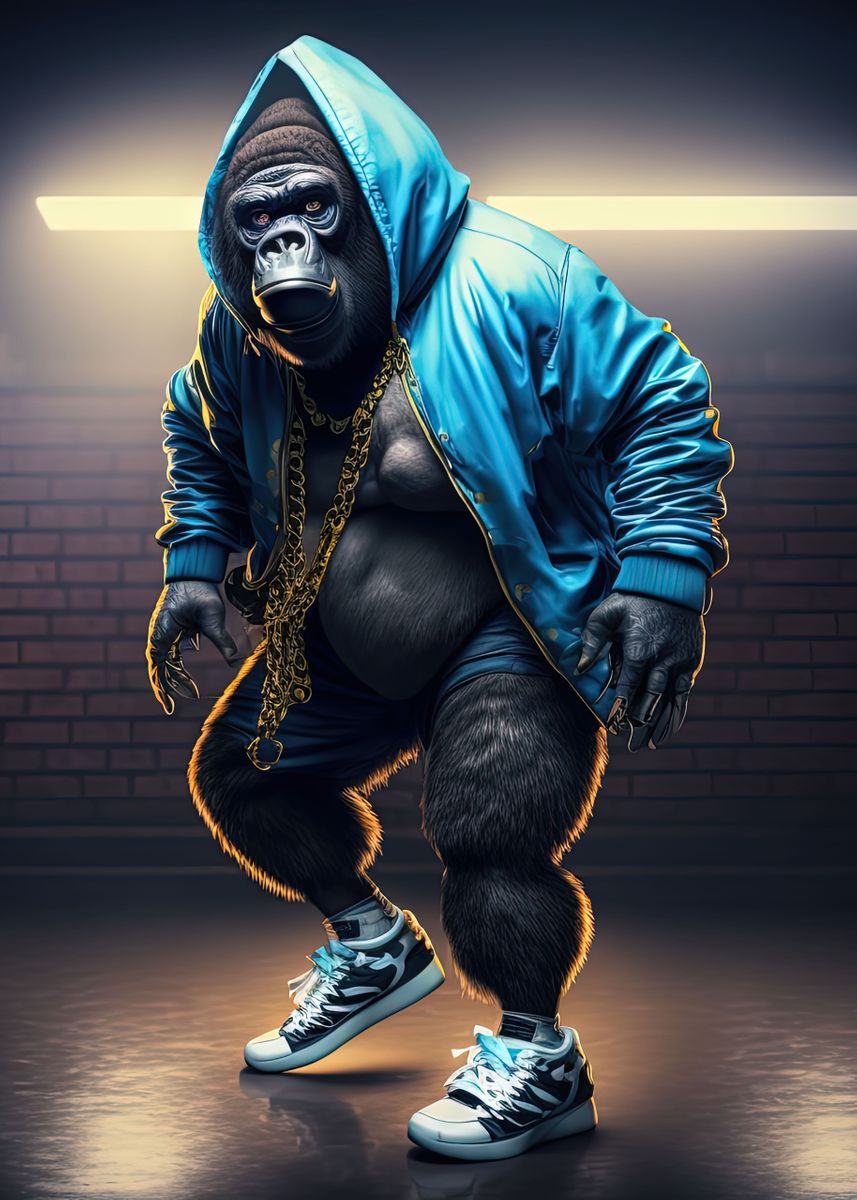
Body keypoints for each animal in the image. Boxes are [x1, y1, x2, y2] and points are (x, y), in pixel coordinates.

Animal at [145, 37, 730, 1162]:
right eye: (257, 214)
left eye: (315, 202)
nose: (282, 241)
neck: (385, 314)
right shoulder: (226, 334)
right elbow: (200, 422)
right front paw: (188, 586)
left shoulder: (539, 294)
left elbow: (651, 398)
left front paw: (653, 613)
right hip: (328, 690)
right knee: (245, 782)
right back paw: (374, 963)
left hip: (512, 663)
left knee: (491, 840)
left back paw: (527, 1080)